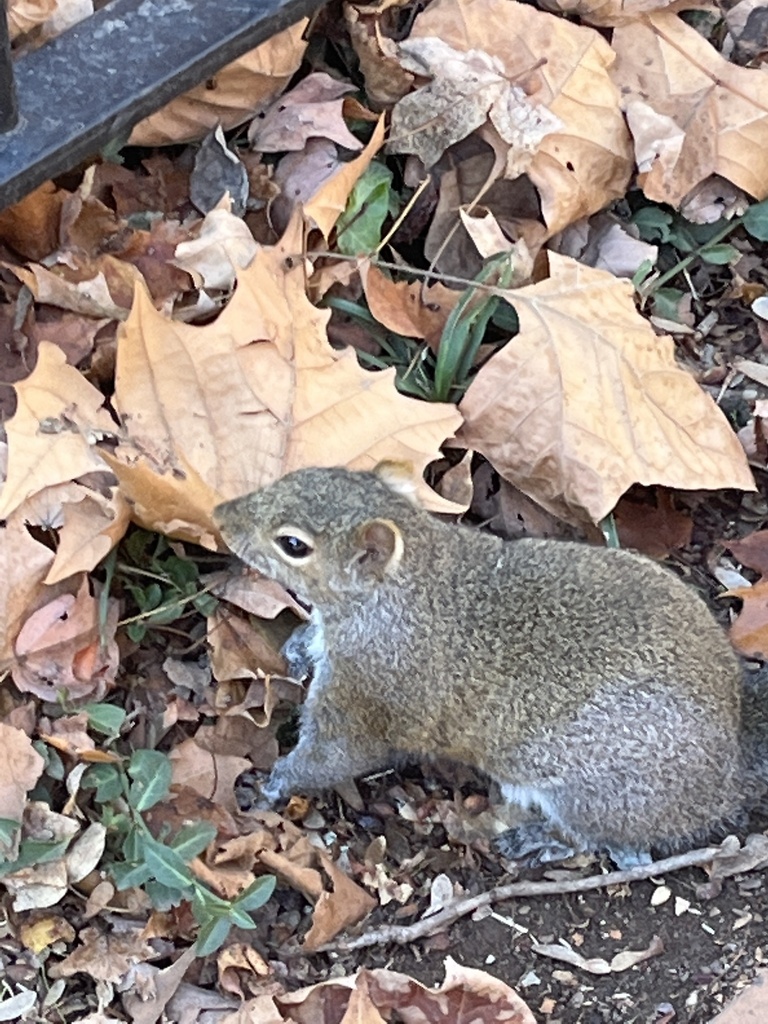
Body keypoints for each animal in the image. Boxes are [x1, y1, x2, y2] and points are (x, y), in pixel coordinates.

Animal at [213, 464, 767, 869]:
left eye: (293, 545)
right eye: (298, 473)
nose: (220, 513)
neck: (403, 590)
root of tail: (730, 769)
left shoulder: (370, 690)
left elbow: (336, 755)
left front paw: (272, 783)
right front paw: (300, 645)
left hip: (595, 791)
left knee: (595, 836)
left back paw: (542, 839)